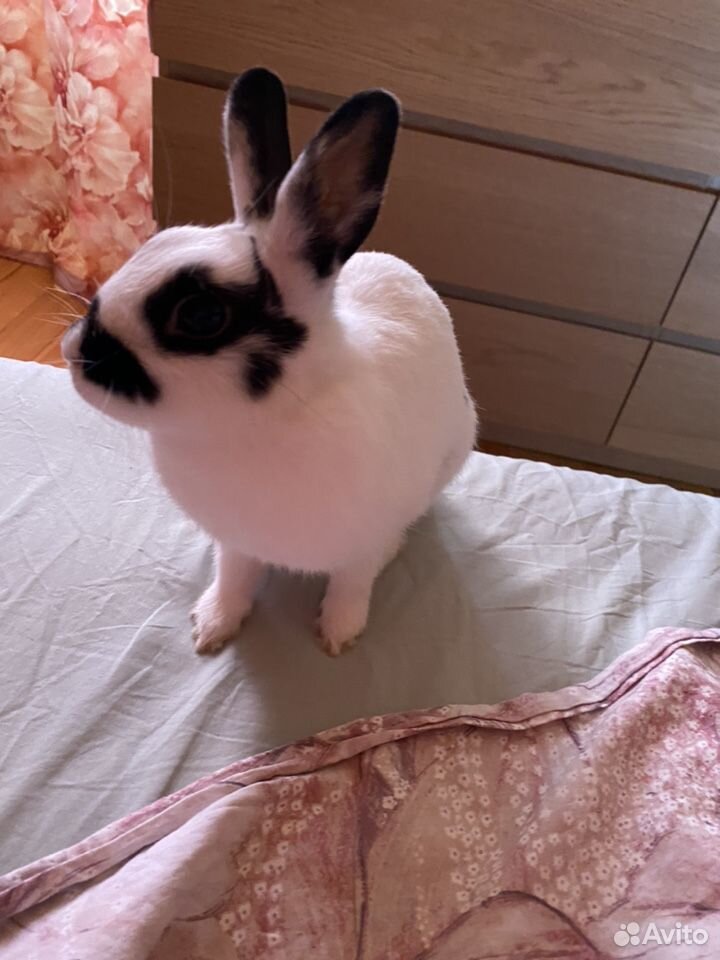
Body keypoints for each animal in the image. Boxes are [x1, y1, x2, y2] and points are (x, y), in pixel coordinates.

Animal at [62, 67, 478, 657]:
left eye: (202, 315)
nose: (74, 352)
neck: (252, 427)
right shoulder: (236, 541)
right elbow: (234, 576)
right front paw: (212, 627)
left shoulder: (359, 543)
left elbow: (352, 584)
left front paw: (338, 637)